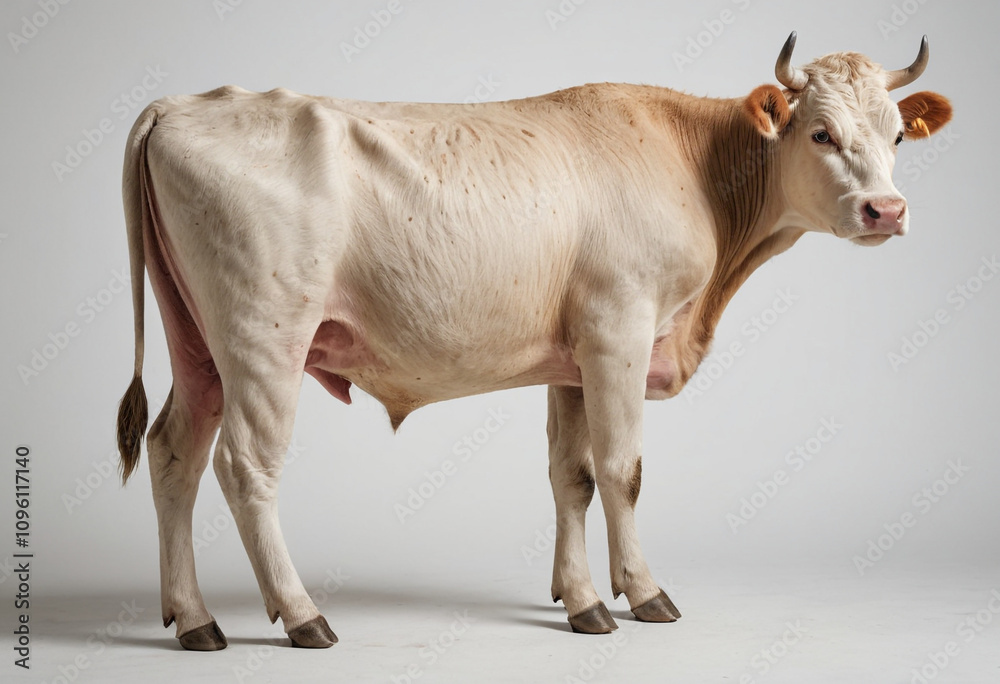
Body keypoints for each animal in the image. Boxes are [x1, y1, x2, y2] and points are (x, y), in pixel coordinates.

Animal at [116, 32, 951, 650]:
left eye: (897, 135)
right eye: (821, 132)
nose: (886, 210)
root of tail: (182, 103)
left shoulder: (574, 355)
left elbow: (569, 476)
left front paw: (581, 601)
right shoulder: (620, 327)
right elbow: (622, 471)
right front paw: (644, 592)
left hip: (196, 340)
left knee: (173, 452)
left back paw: (194, 620)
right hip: (263, 334)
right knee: (245, 466)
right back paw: (302, 616)